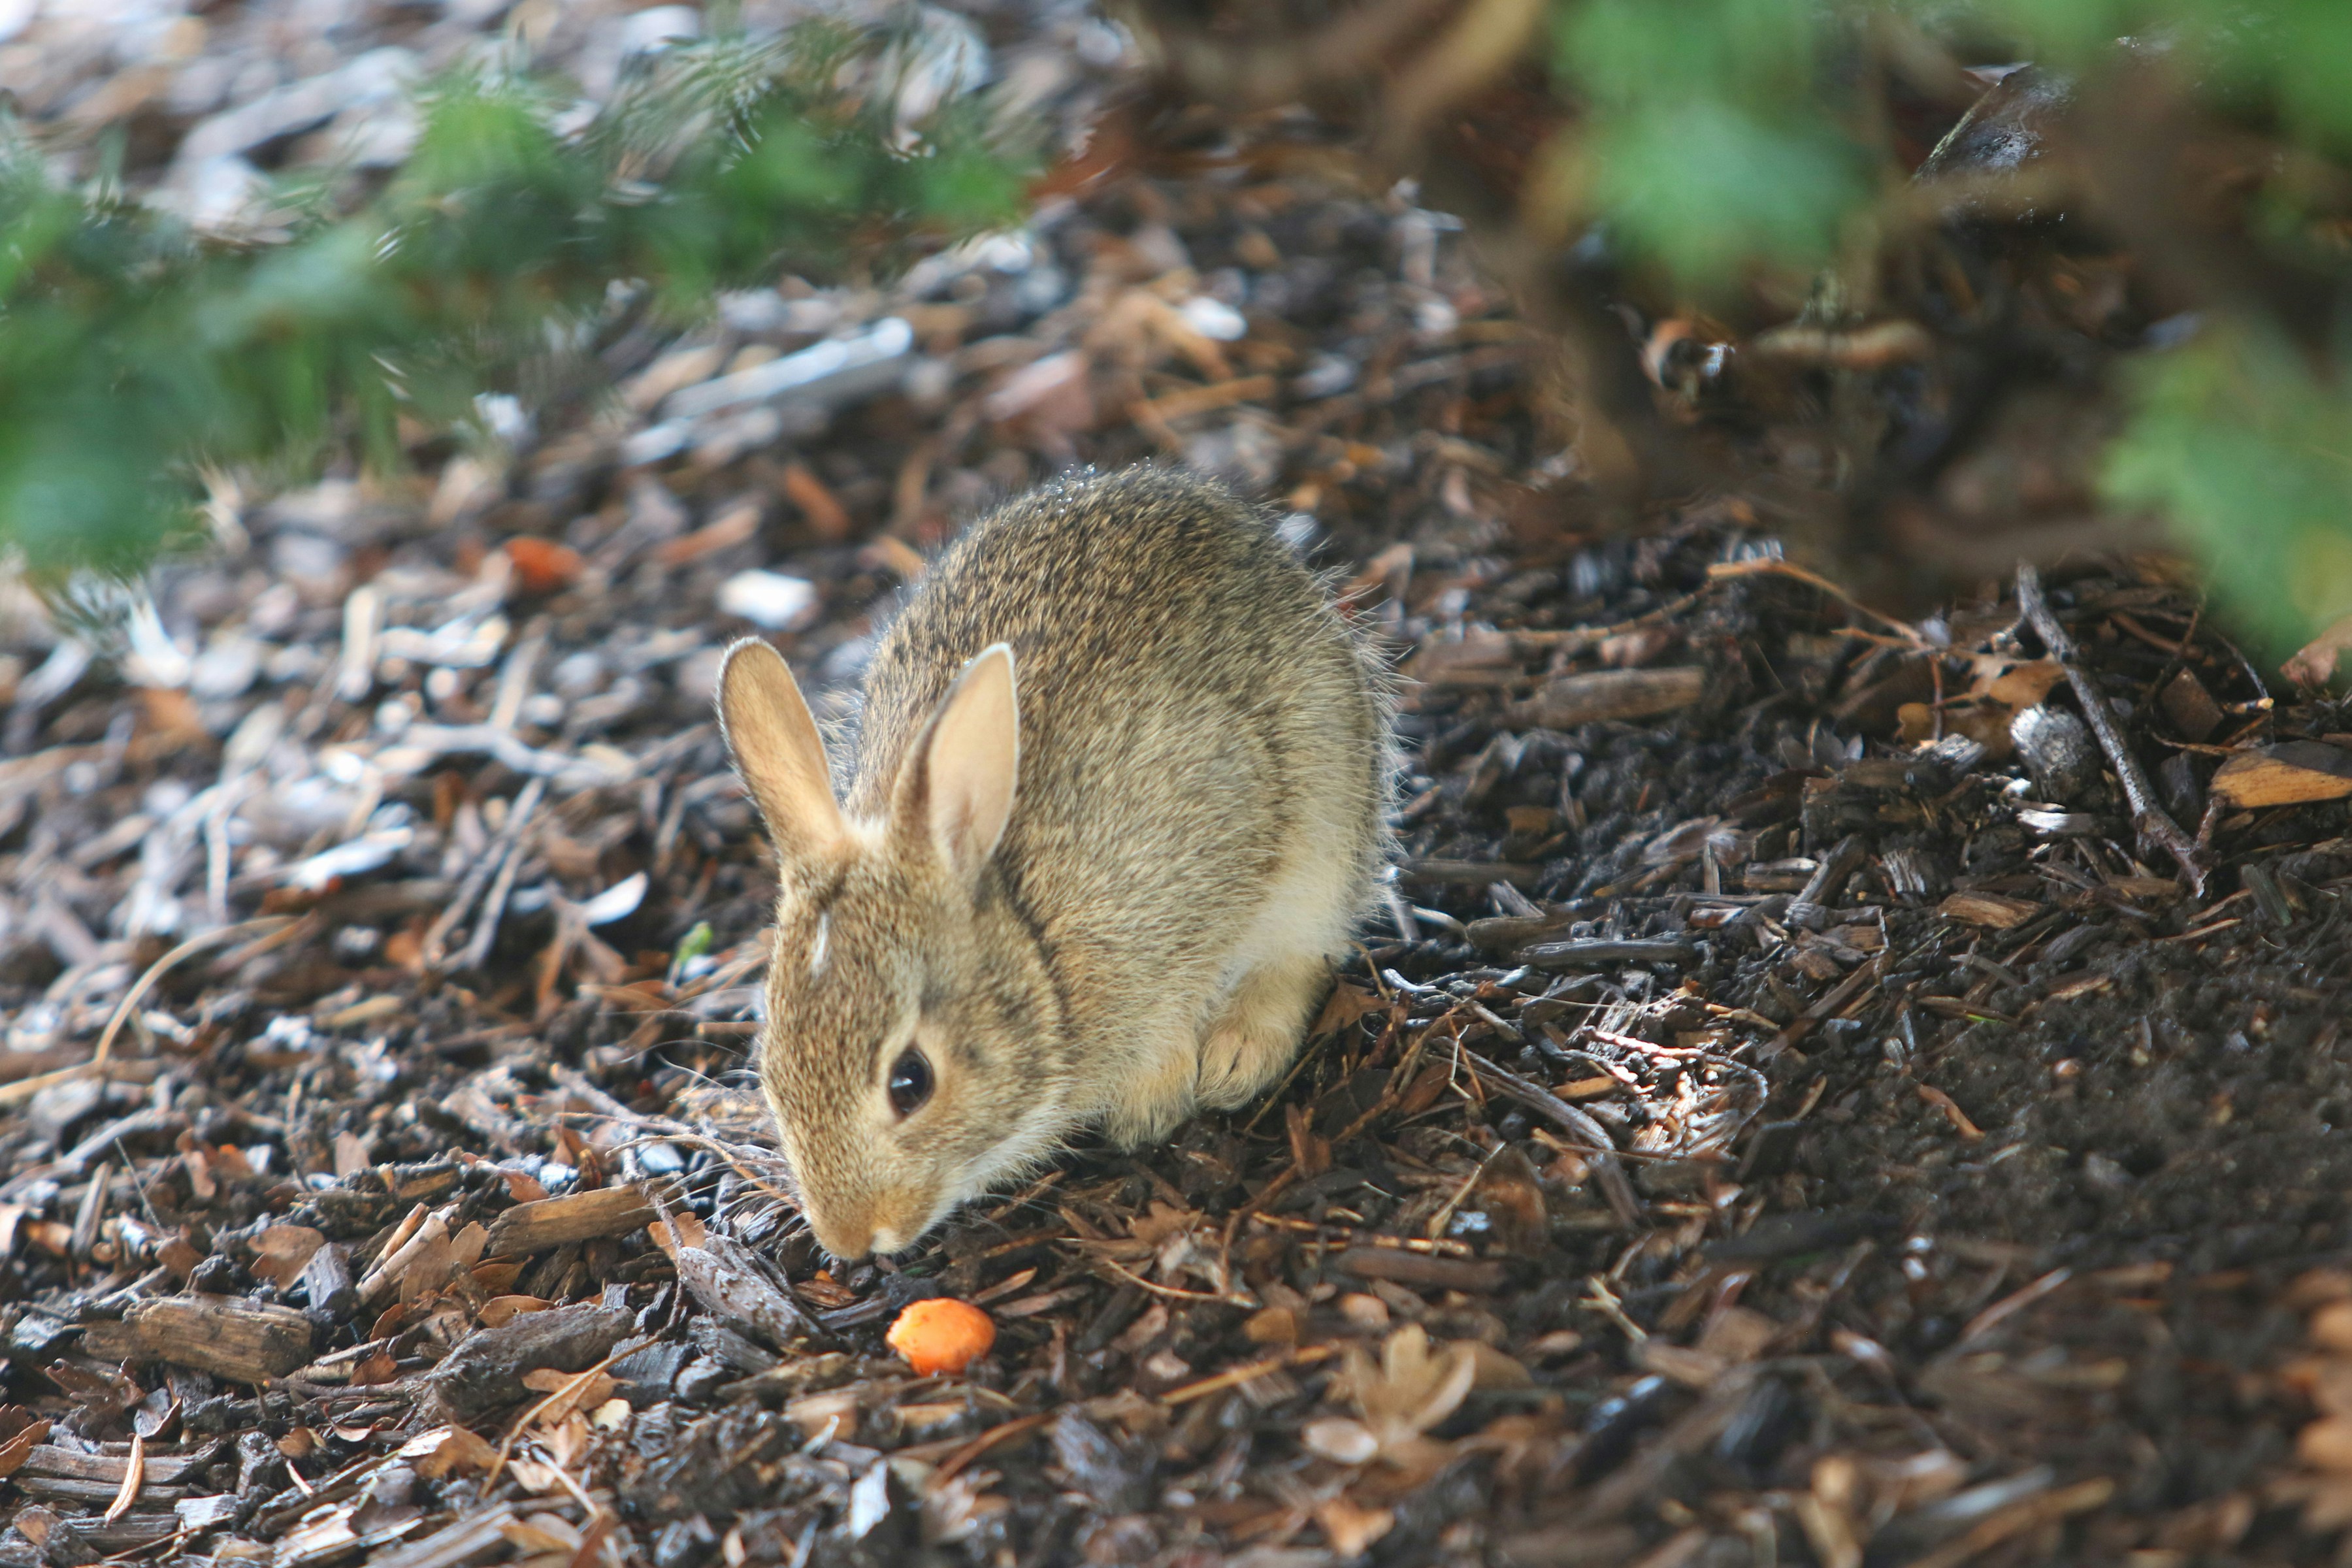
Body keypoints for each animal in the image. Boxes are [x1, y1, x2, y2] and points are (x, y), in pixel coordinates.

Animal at [716, 466, 1392, 1261]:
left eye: (911, 1082)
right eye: (768, 1068)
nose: (850, 1238)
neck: (1033, 945)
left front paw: (1154, 1103)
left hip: (1329, 811)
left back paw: (1237, 1056)